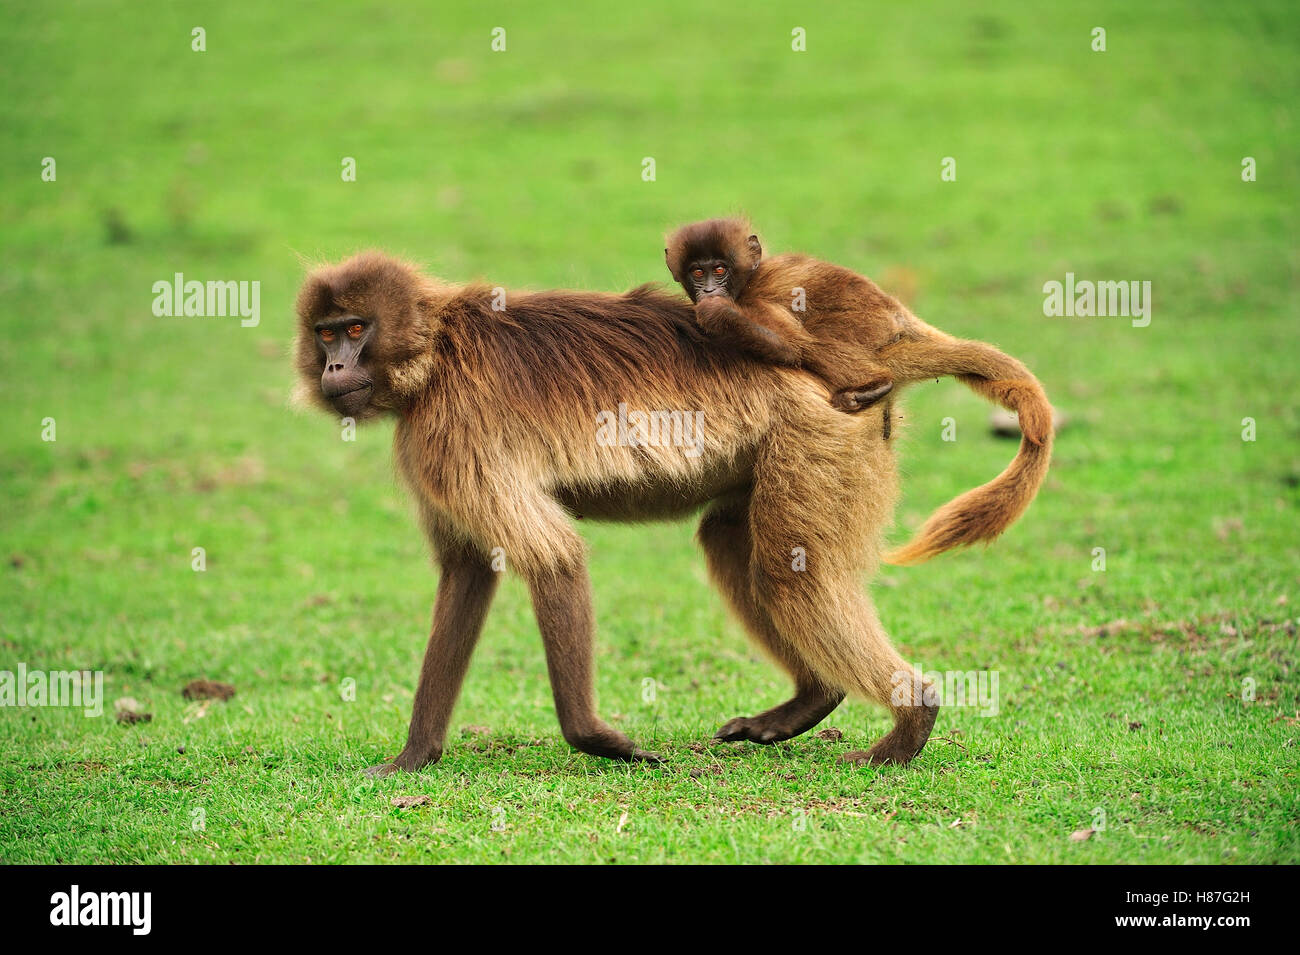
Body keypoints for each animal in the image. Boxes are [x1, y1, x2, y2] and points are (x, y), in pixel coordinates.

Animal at [293, 250, 1052, 776]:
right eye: (326, 334)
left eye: (356, 329)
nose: (333, 370)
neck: (436, 349)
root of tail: (856, 361)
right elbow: (468, 572)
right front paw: (413, 757)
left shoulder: (448, 432)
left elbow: (553, 555)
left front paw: (598, 740)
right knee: (732, 542)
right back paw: (811, 699)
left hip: (822, 430)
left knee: (792, 574)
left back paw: (909, 718)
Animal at [665, 218, 895, 413]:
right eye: (698, 272)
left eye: (719, 269)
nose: (709, 291)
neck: (749, 281)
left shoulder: (759, 302)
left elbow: (789, 348)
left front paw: (717, 311)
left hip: (873, 326)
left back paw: (875, 385)